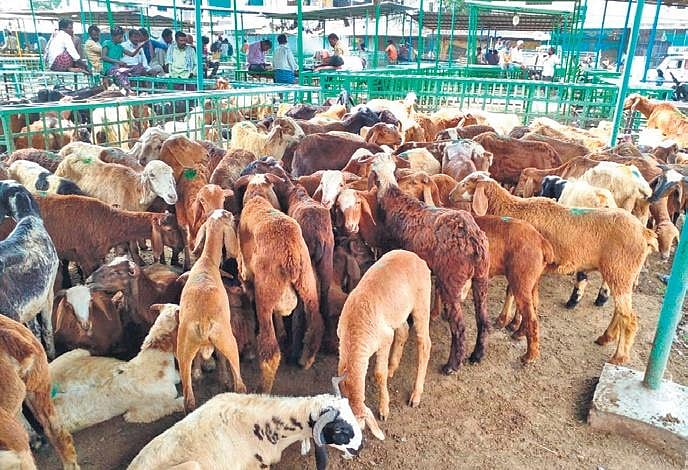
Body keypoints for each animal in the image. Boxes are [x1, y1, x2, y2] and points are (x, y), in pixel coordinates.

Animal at [177, 210, 246, 412]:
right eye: (229, 217)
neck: (207, 261)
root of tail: (204, 322)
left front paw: (199, 373)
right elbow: (222, 360)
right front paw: (223, 378)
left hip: (183, 352)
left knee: (189, 399)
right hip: (229, 342)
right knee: (240, 384)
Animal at [236, 174, 323, 392]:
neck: (258, 198)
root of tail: (290, 253)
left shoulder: (246, 273)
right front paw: (283, 331)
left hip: (265, 294)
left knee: (270, 351)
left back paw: (262, 389)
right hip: (307, 283)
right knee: (317, 323)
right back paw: (306, 360)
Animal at [337, 250, 431, 440]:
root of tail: (417, 257)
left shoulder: (385, 339)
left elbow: (379, 374)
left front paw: (384, 409)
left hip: (422, 302)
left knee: (424, 344)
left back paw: (416, 395)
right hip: (398, 310)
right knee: (403, 330)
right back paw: (392, 368)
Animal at [369, 154, 491, 374]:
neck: (392, 195)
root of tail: (473, 239)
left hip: (452, 280)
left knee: (459, 327)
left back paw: (452, 365)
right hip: (481, 277)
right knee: (483, 320)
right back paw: (477, 355)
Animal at [449, 172, 658, 365]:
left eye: (466, 183)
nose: (451, 195)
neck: (514, 208)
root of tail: (645, 232)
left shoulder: (521, 267)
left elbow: (512, 293)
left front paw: (508, 322)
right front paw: (517, 326)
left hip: (620, 271)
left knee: (629, 319)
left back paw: (619, 357)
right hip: (621, 274)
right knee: (620, 312)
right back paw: (605, 338)